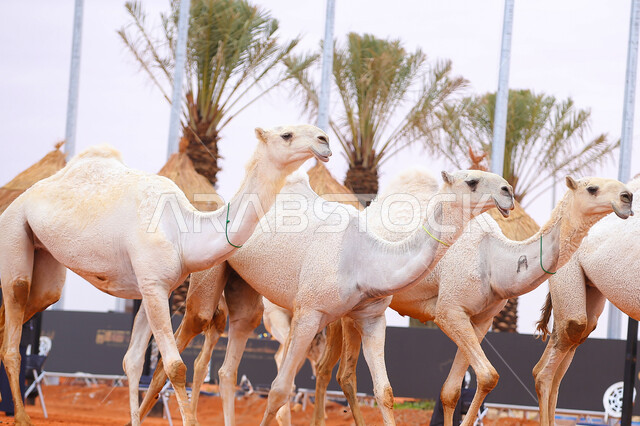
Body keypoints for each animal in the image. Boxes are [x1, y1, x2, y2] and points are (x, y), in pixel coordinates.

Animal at [0, 124, 331, 426]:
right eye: (286, 134)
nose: (325, 140)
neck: (183, 233)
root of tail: (24, 195)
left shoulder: (155, 287)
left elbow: (133, 361)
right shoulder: (152, 285)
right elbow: (174, 366)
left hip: (45, 260)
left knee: (34, 304)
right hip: (15, 228)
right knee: (14, 319)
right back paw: (21, 417)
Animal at [135, 166, 515, 425]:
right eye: (472, 181)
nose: (509, 191)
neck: (366, 258)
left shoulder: (371, 318)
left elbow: (385, 392)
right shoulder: (309, 312)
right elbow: (278, 389)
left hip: (245, 292)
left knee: (227, 357)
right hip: (208, 273)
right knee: (184, 342)